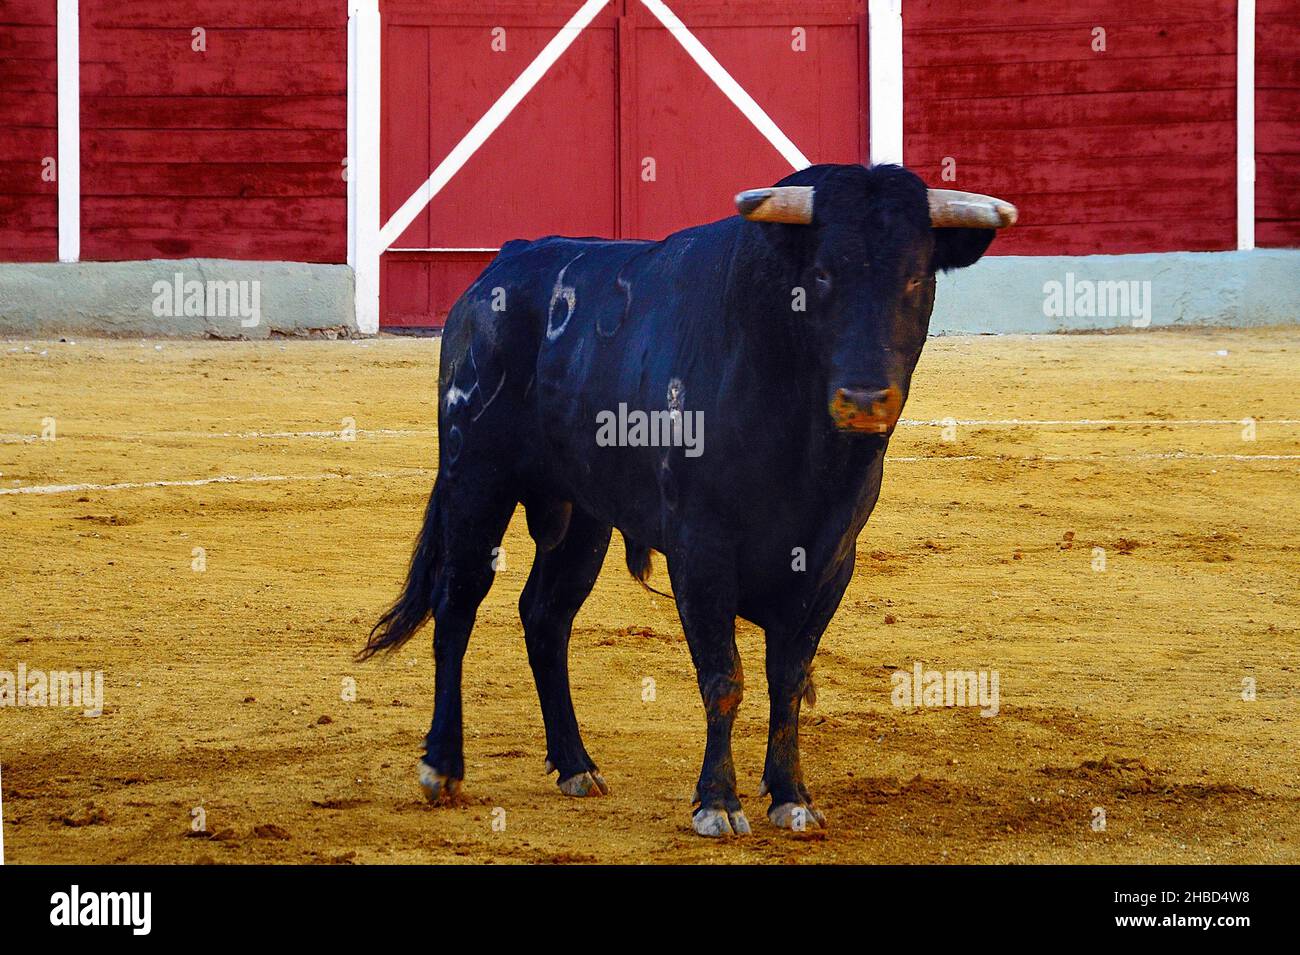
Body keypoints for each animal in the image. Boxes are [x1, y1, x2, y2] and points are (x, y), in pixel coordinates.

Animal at [360, 163, 1016, 836]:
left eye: (916, 276)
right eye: (821, 274)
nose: (863, 400)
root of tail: (500, 267)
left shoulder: (833, 558)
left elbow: (789, 676)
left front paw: (791, 795)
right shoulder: (701, 550)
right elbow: (724, 675)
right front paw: (717, 802)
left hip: (582, 515)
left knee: (545, 616)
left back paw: (575, 764)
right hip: (476, 480)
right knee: (456, 604)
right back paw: (443, 766)